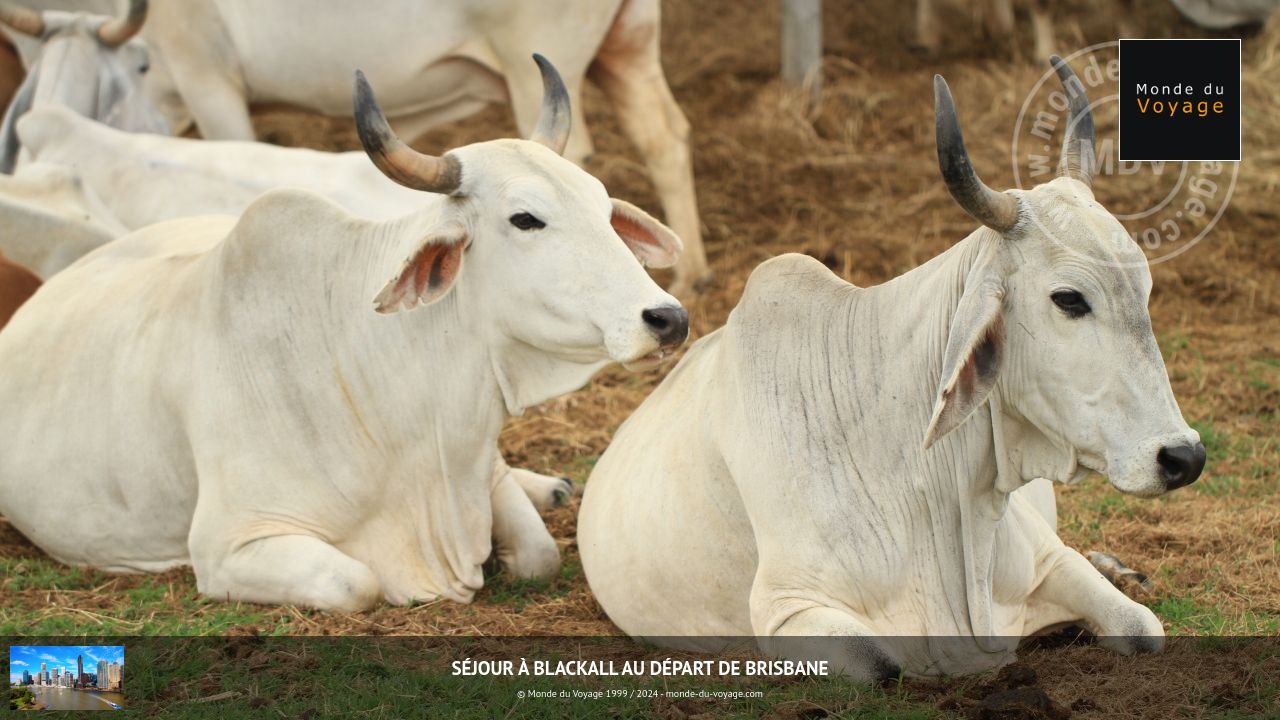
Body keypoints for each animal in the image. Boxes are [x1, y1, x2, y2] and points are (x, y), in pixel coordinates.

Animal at [0, 56, 691, 607]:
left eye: (603, 206)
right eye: (526, 219)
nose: (669, 318)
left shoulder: (478, 468)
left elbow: (540, 555)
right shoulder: (230, 543)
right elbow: (356, 582)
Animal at [576, 57, 1203, 676]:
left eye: (1145, 288)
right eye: (1069, 299)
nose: (1184, 457)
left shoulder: (1049, 559)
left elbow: (1143, 628)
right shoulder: (788, 610)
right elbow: (883, 665)